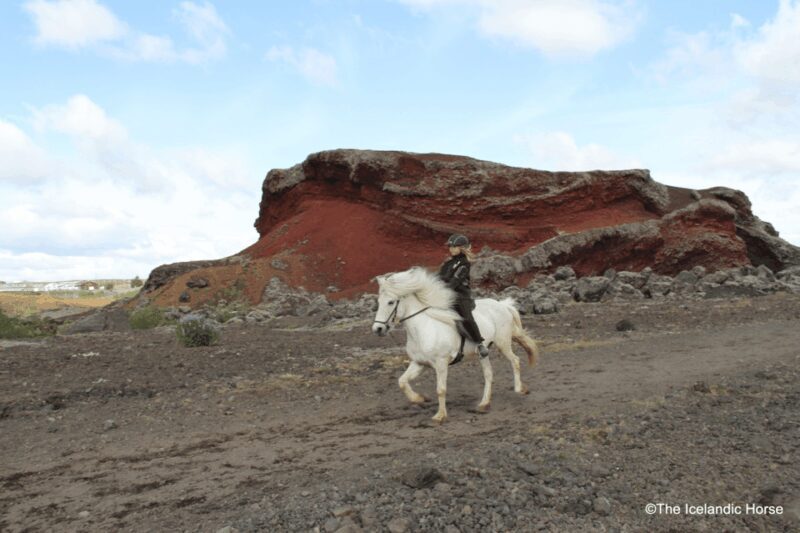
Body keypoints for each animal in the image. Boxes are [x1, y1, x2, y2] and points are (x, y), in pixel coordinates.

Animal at [372, 267, 539, 423]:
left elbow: (440, 389)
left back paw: (520, 389)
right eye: (378, 302)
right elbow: (402, 382)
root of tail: (502, 305)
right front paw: (419, 398)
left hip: (503, 343)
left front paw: (440, 416)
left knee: (515, 360)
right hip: (484, 353)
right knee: (488, 374)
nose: (377, 329)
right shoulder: (419, 363)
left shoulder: (441, 363)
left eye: (391, 302)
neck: (423, 328)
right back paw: (483, 404)